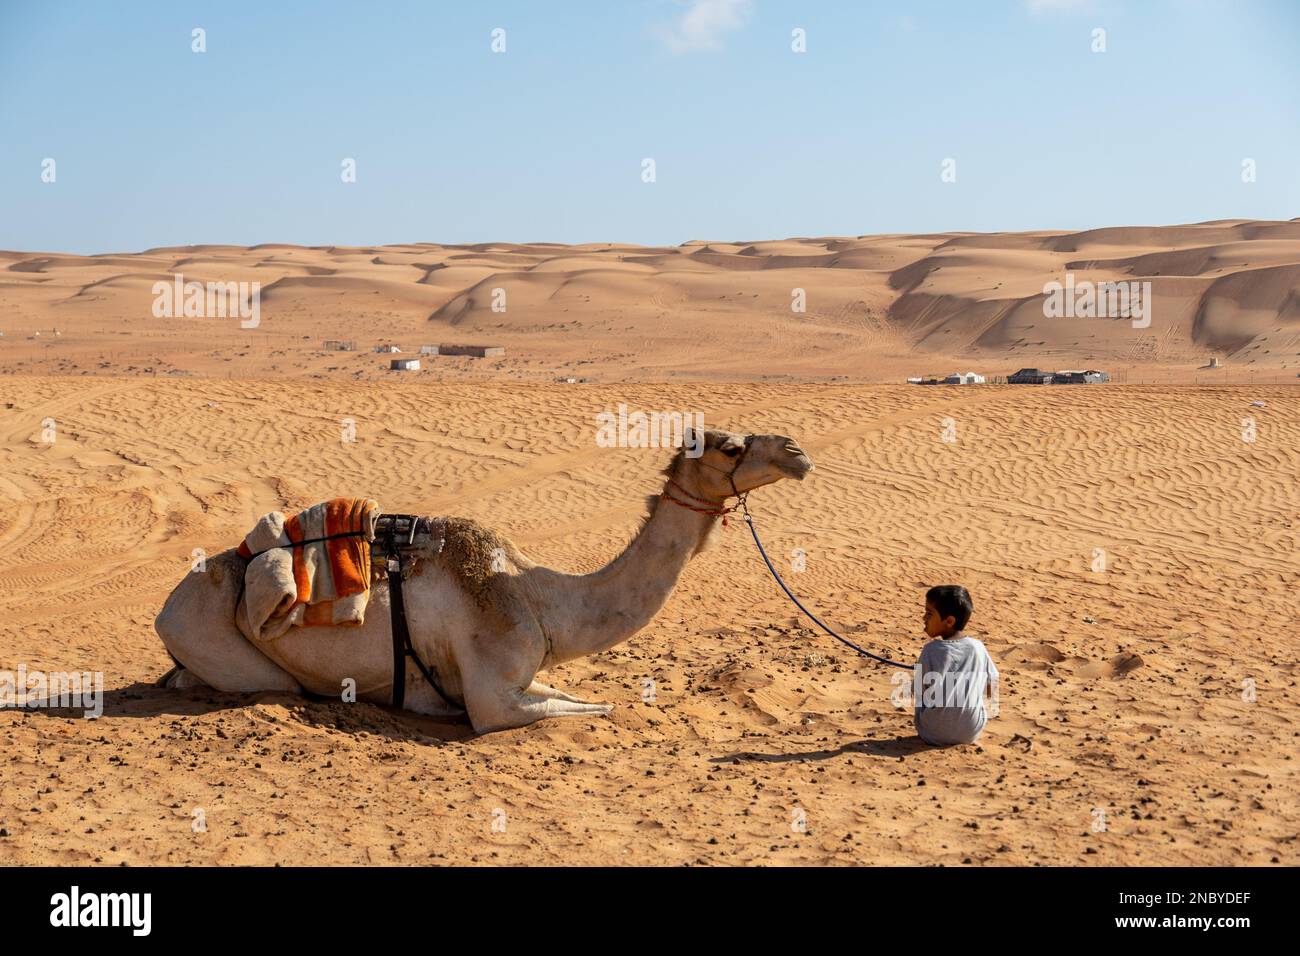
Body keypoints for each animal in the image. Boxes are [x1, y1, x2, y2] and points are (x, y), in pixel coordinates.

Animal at [153, 428, 813, 733]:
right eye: (731, 448)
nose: (796, 451)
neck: (540, 598)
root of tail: (167, 607)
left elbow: (578, 697)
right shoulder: (493, 695)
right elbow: (589, 707)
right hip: (227, 648)